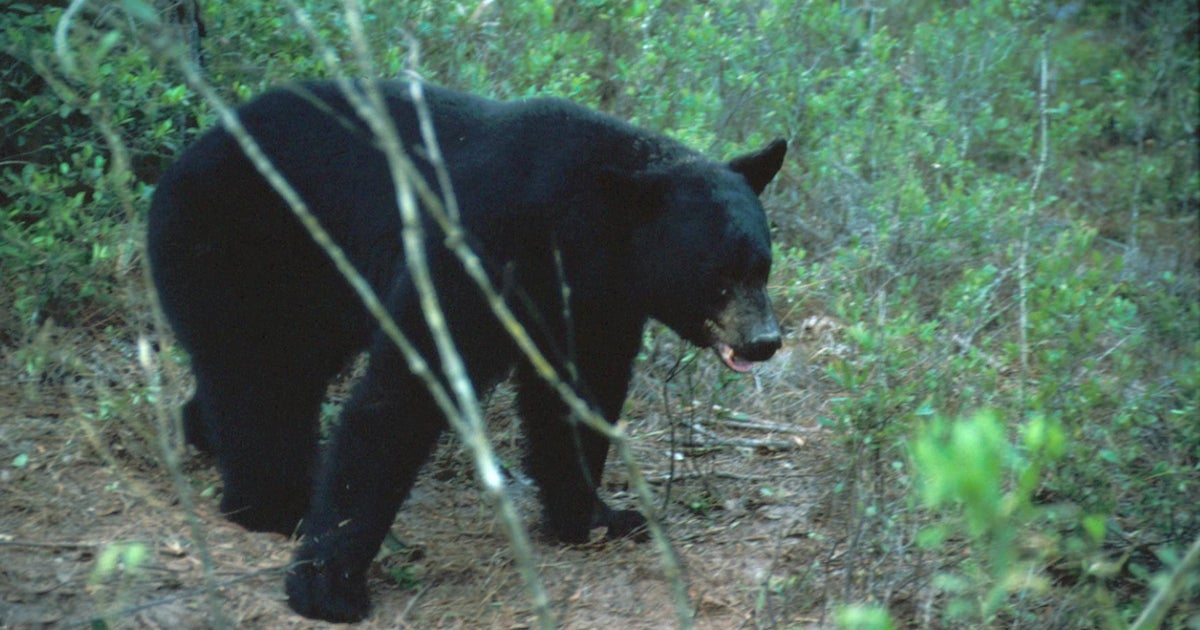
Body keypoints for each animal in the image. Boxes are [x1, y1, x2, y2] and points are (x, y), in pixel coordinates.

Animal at [147, 80, 786, 622]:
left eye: (762, 265)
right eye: (719, 279)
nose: (765, 341)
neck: (573, 228)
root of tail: (183, 158)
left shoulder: (589, 302)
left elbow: (577, 396)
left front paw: (598, 516)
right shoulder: (477, 247)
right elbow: (404, 391)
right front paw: (329, 585)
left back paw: (209, 437)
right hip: (242, 243)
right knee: (259, 374)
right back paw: (273, 504)